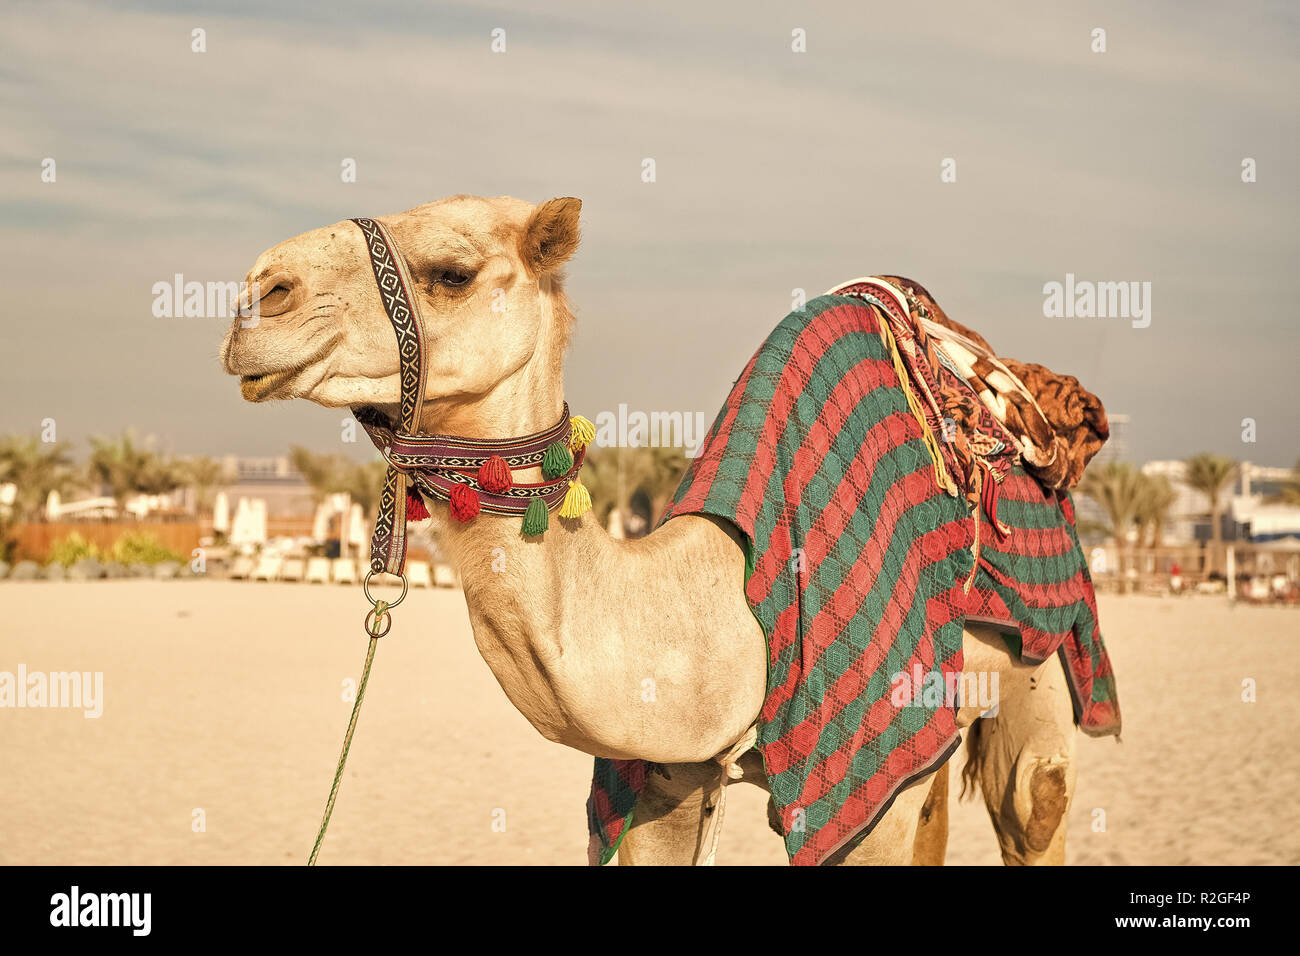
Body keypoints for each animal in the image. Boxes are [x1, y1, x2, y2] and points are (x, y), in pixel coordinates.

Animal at [221, 194, 1080, 865]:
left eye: (452, 272)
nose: (259, 294)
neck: (727, 601)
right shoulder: (670, 775)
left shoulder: (874, 769)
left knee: (1035, 796)